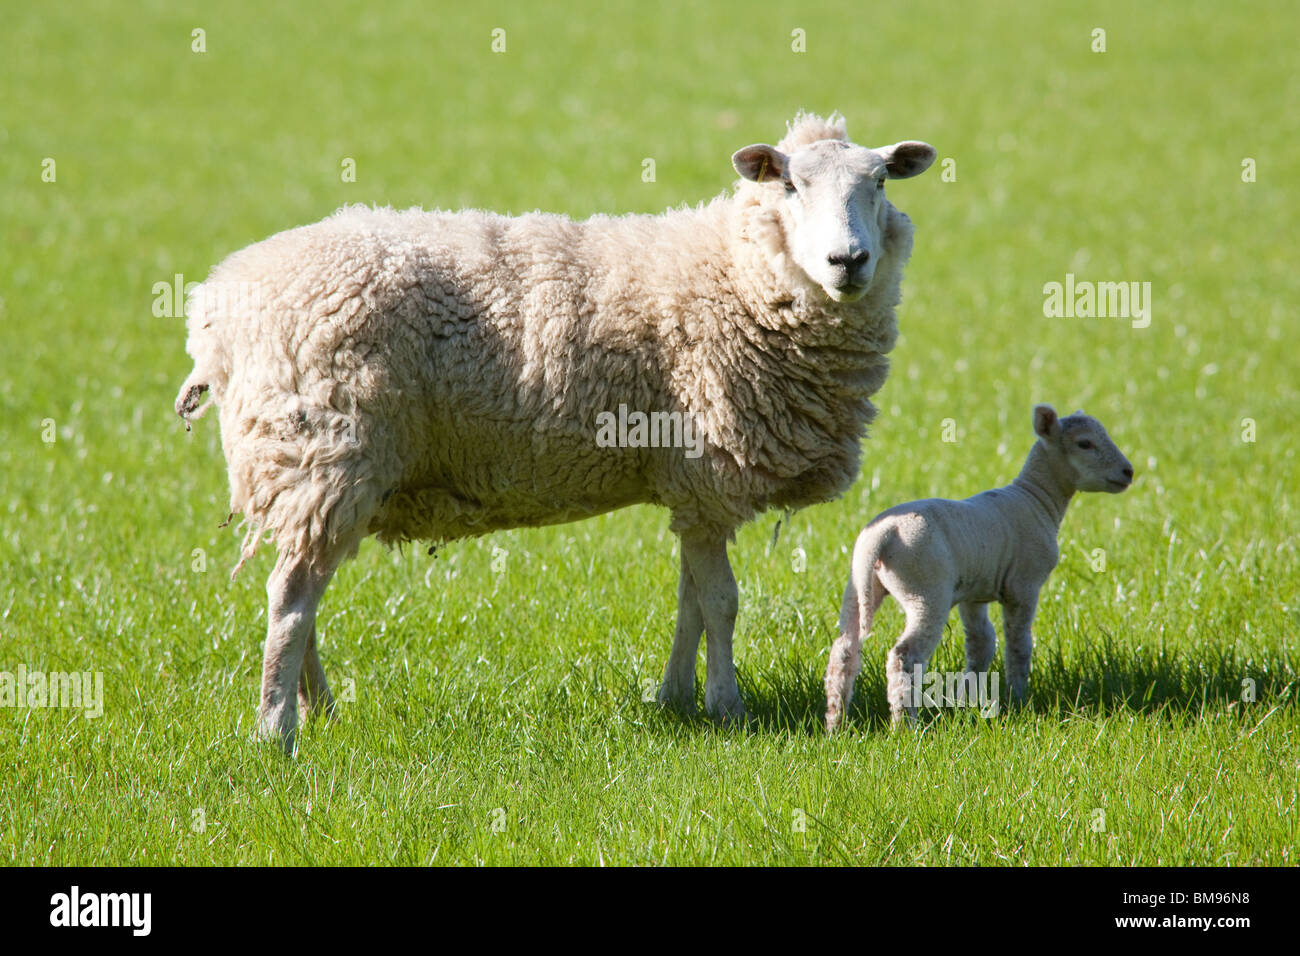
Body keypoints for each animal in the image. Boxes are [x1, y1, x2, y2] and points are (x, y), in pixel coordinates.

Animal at [174, 112, 936, 752]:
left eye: (878, 182)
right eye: (790, 184)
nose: (849, 262)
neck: (738, 275)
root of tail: (217, 309)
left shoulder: (686, 482)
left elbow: (690, 600)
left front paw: (676, 698)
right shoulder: (708, 469)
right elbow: (722, 603)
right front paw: (728, 708)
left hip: (317, 471)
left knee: (301, 594)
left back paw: (321, 712)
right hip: (325, 453)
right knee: (290, 602)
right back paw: (276, 733)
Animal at [824, 405, 1133, 733]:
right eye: (1084, 443)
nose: (1128, 472)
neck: (1036, 499)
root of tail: (882, 536)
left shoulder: (974, 592)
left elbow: (981, 643)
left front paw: (967, 700)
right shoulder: (1024, 586)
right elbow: (1019, 645)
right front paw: (1017, 698)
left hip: (859, 584)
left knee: (844, 649)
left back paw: (835, 722)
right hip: (926, 590)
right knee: (904, 656)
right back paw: (905, 724)